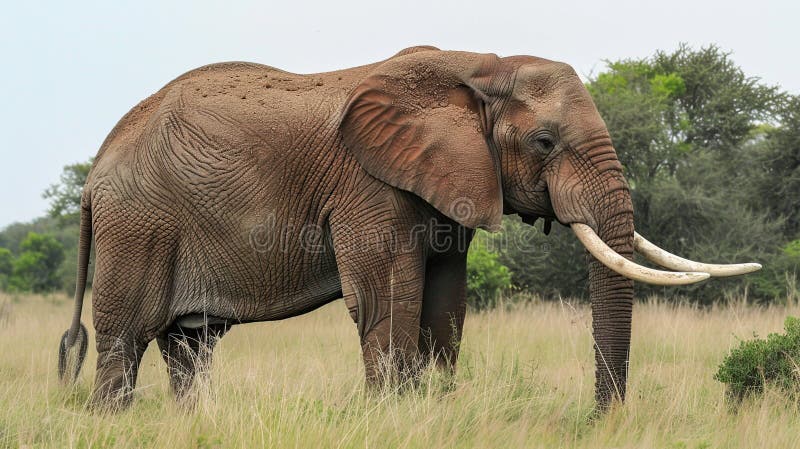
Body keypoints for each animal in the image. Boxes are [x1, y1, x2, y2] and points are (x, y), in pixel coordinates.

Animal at [57, 45, 761, 410]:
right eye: (543, 141)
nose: (602, 420)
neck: (475, 68)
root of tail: (95, 171)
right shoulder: (369, 186)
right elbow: (388, 297)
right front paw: (390, 414)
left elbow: (446, 303)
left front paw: (435, 408)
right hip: (140, 224)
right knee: (125, 340)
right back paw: (112, 419)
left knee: (189, 345)